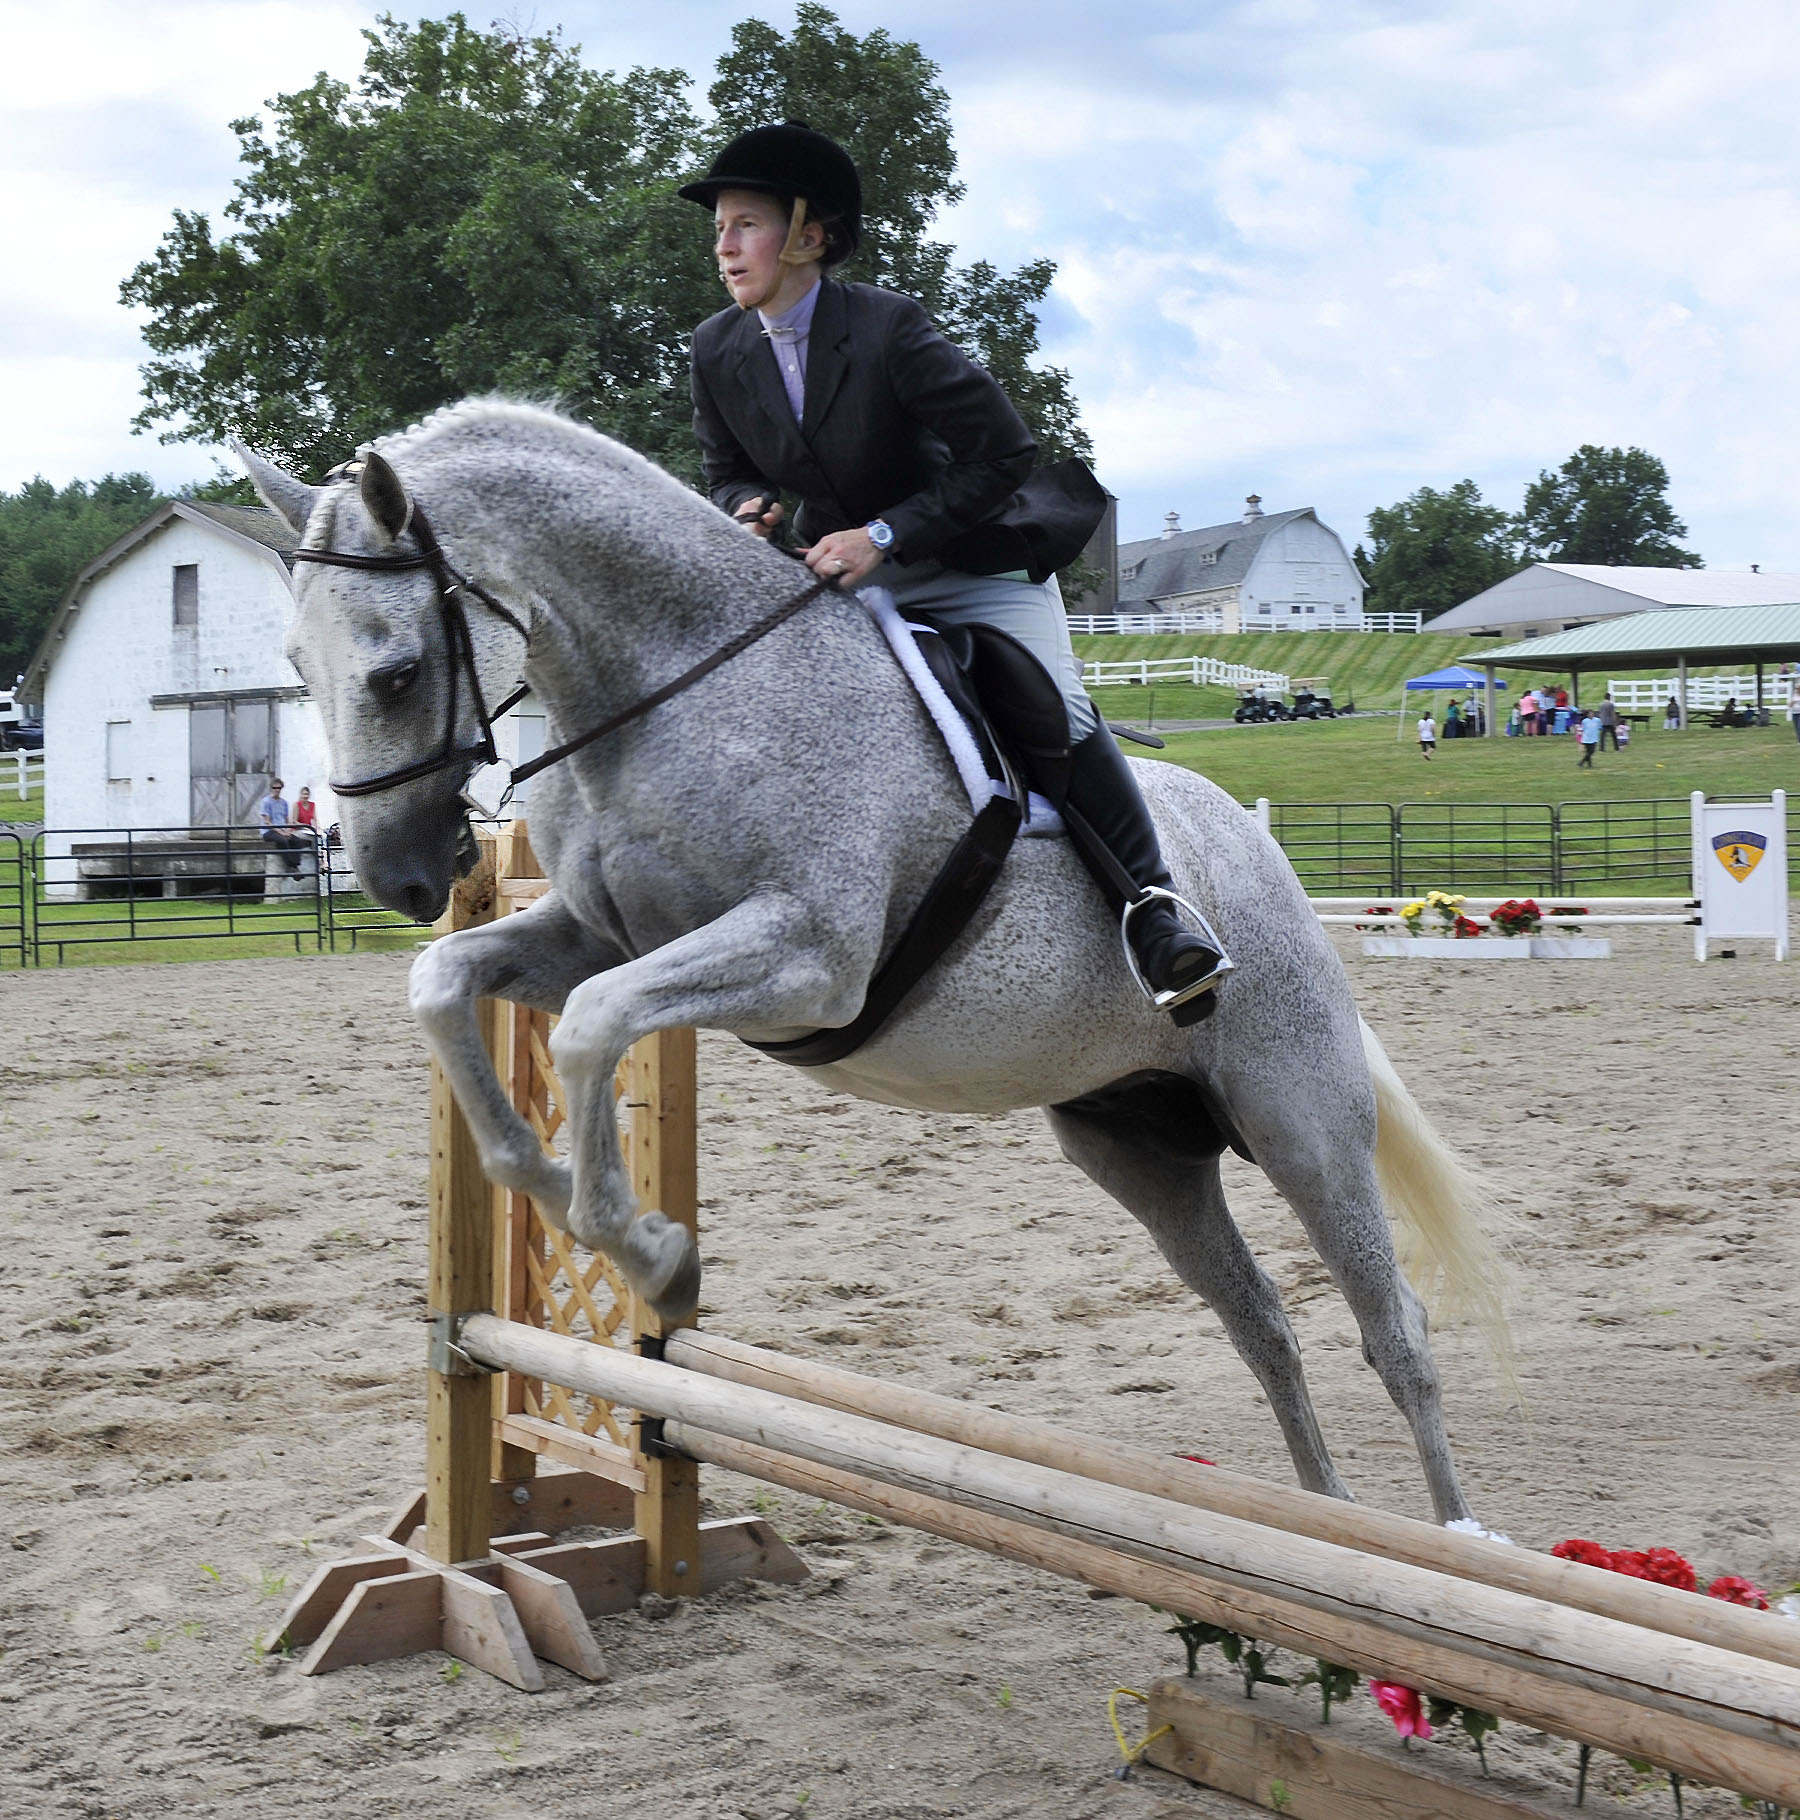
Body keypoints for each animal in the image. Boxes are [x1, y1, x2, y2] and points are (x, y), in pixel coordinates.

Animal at [241, 400, 1509, 1526]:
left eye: (397, 671)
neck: (674, 687)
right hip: (1141, 1147)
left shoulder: (810, 959)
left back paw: (1453, 1545)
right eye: (296, 663)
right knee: (1262, 1320)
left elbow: (597, 1023)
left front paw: (654, 1255)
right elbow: (448, 985)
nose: (400, 877)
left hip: (1302, 1116)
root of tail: (1256, 846)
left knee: (1394, 1326)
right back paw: (1327, 1518)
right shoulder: (596, 934)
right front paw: (550, 1188)